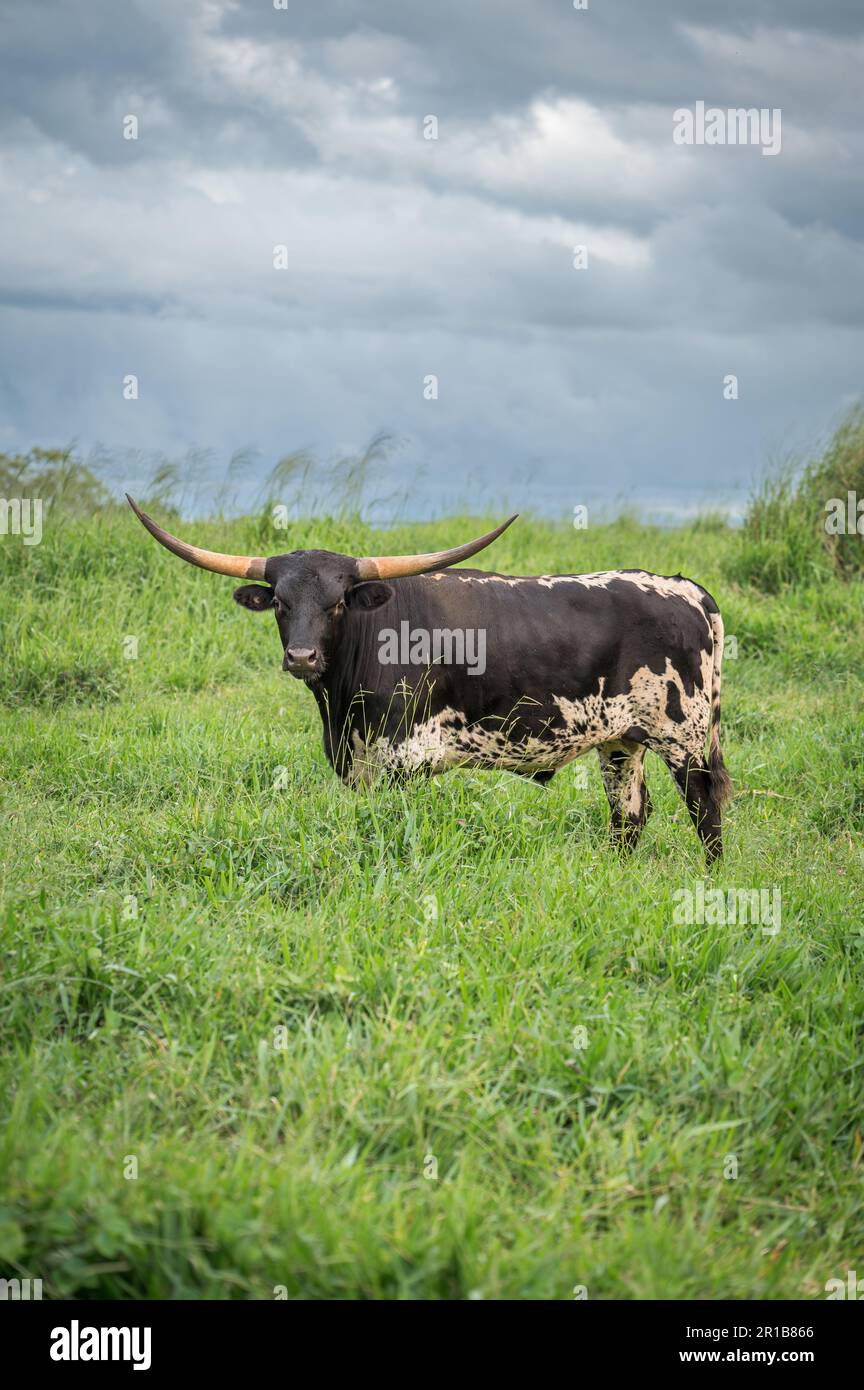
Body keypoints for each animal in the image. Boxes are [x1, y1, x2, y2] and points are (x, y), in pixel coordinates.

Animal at [127, 496, 732, 862]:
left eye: (338, 603)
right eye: (279, 601)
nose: (301, 656)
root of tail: (688, 589)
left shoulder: (403, 759)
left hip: (683, 737)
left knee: (705, 808)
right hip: (621, 741)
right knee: (628, 816)